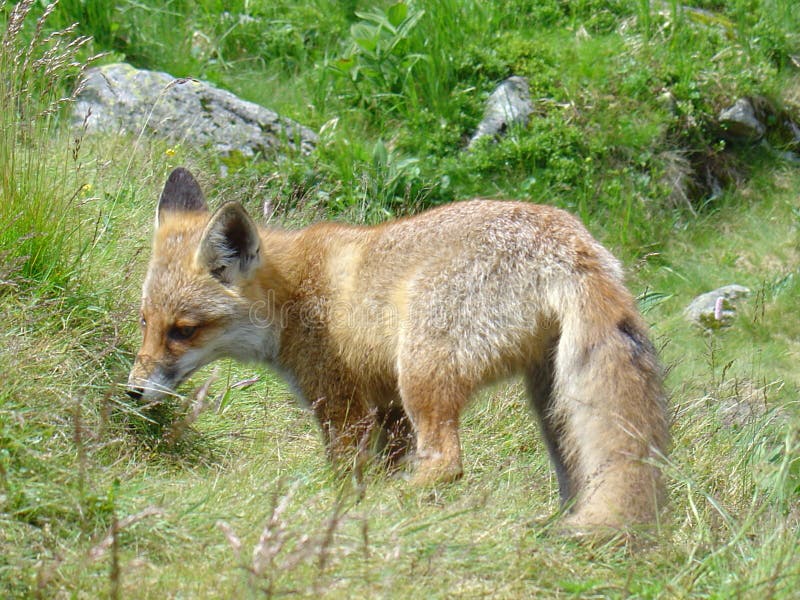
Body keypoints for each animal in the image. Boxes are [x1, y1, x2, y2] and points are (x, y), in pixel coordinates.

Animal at [127, 167, 669, 529]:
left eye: (183, 330)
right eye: (146, 322)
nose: (132, 391)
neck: (296, 292)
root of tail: (573, 246)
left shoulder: (343, 405)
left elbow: (348, 476)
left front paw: (343, 512)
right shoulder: (388, 411)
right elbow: (383, 465)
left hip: (424, 374)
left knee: (448, 463)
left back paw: (395, 507)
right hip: (552, 405)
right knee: (575, 479)